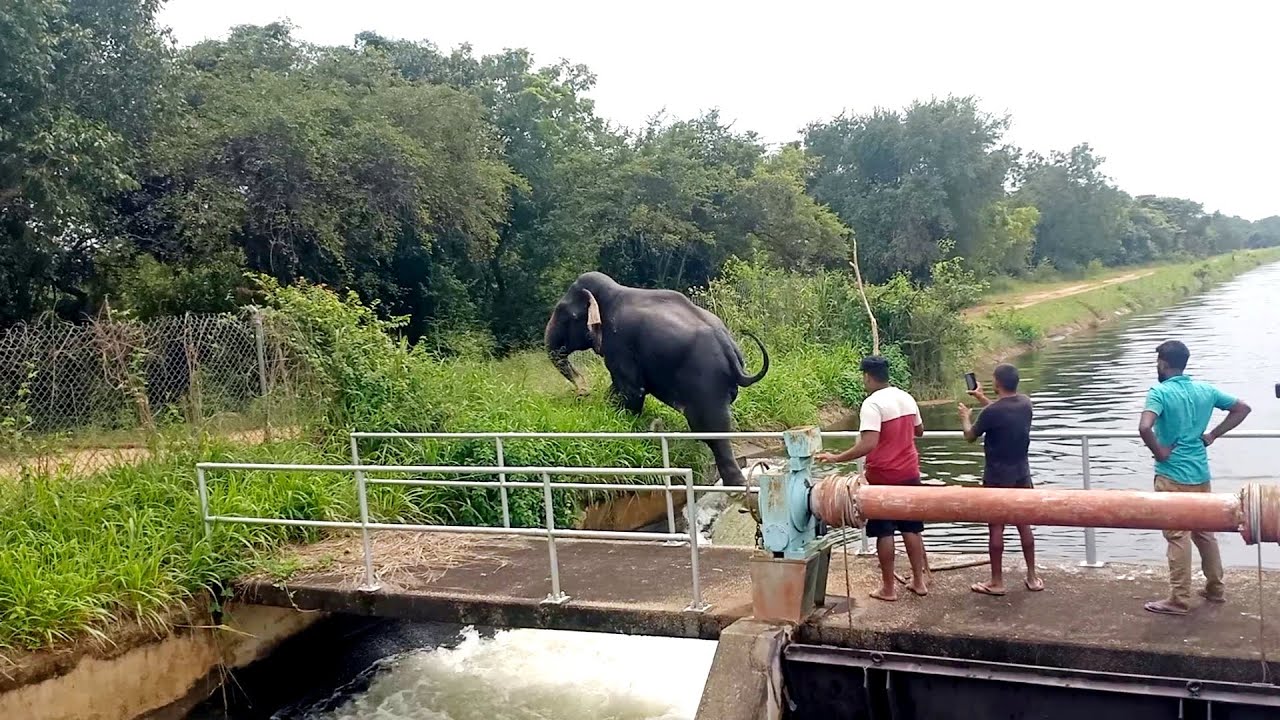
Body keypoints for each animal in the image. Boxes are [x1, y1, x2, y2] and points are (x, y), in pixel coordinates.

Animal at [544, 271, 769, 486]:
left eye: (566, 316)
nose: (583, 393)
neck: (613, 292)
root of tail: (727, 345)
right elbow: (617, 387)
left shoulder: (621, 344)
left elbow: (631, 390)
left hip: (707, 382)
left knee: (715, 430)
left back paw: (736, 486)